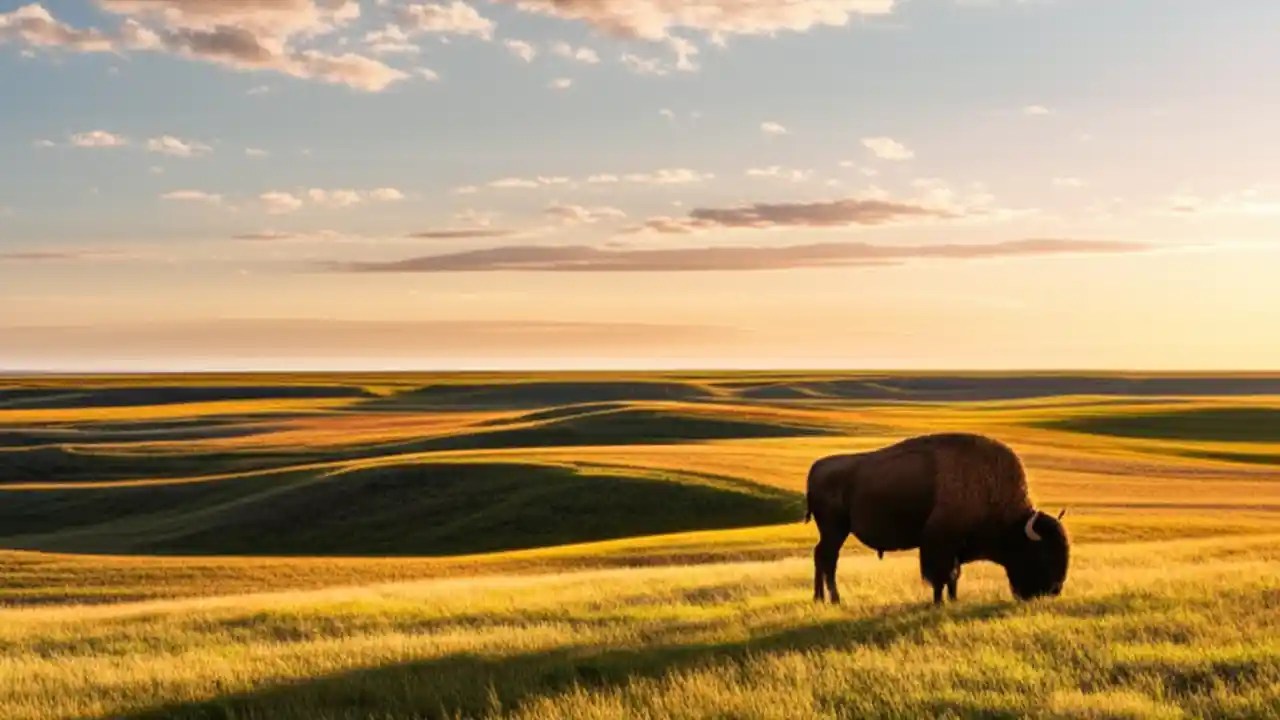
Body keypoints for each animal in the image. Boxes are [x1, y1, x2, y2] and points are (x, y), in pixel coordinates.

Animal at [805, 432, 1069, 605]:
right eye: (1043, 553)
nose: (1054, 590)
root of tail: (816, 467)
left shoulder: (954, 549)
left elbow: (953, 576)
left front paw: (953, 600)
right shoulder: (939, 544)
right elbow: (941, 576)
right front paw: (939, 602)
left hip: (834, 532)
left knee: (822, 557)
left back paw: (821, 599)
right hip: (835, 530)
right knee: (827, 559)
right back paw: (833, 599)